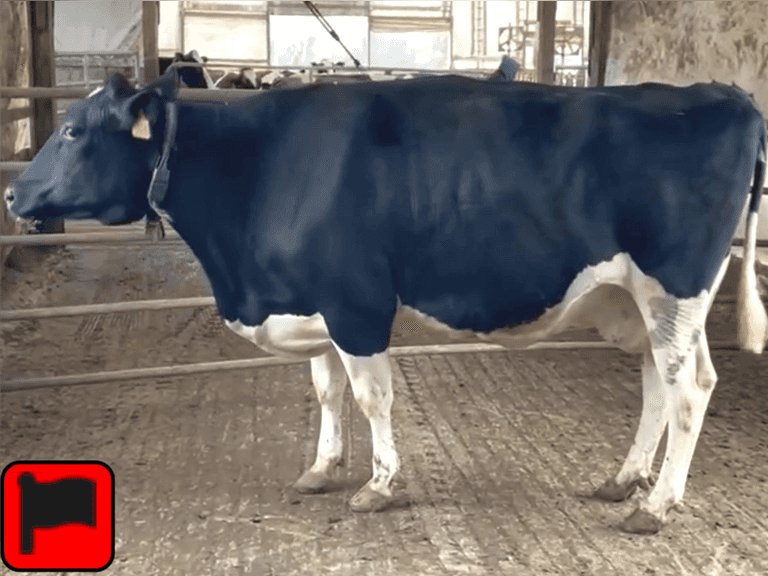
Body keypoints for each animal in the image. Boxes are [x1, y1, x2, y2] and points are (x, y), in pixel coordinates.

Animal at [6, 70, 767, 535]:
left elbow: (374, 397)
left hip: (673, 289)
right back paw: (624, 479)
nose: (13, 193)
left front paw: (380, 484)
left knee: (691, 388)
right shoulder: (312, 306)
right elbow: (326, 391)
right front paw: (321, 469)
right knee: (659, 383)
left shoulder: (357, 303)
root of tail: (723, 94)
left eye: (73, 131)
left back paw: (656, 506)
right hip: (638, 302)